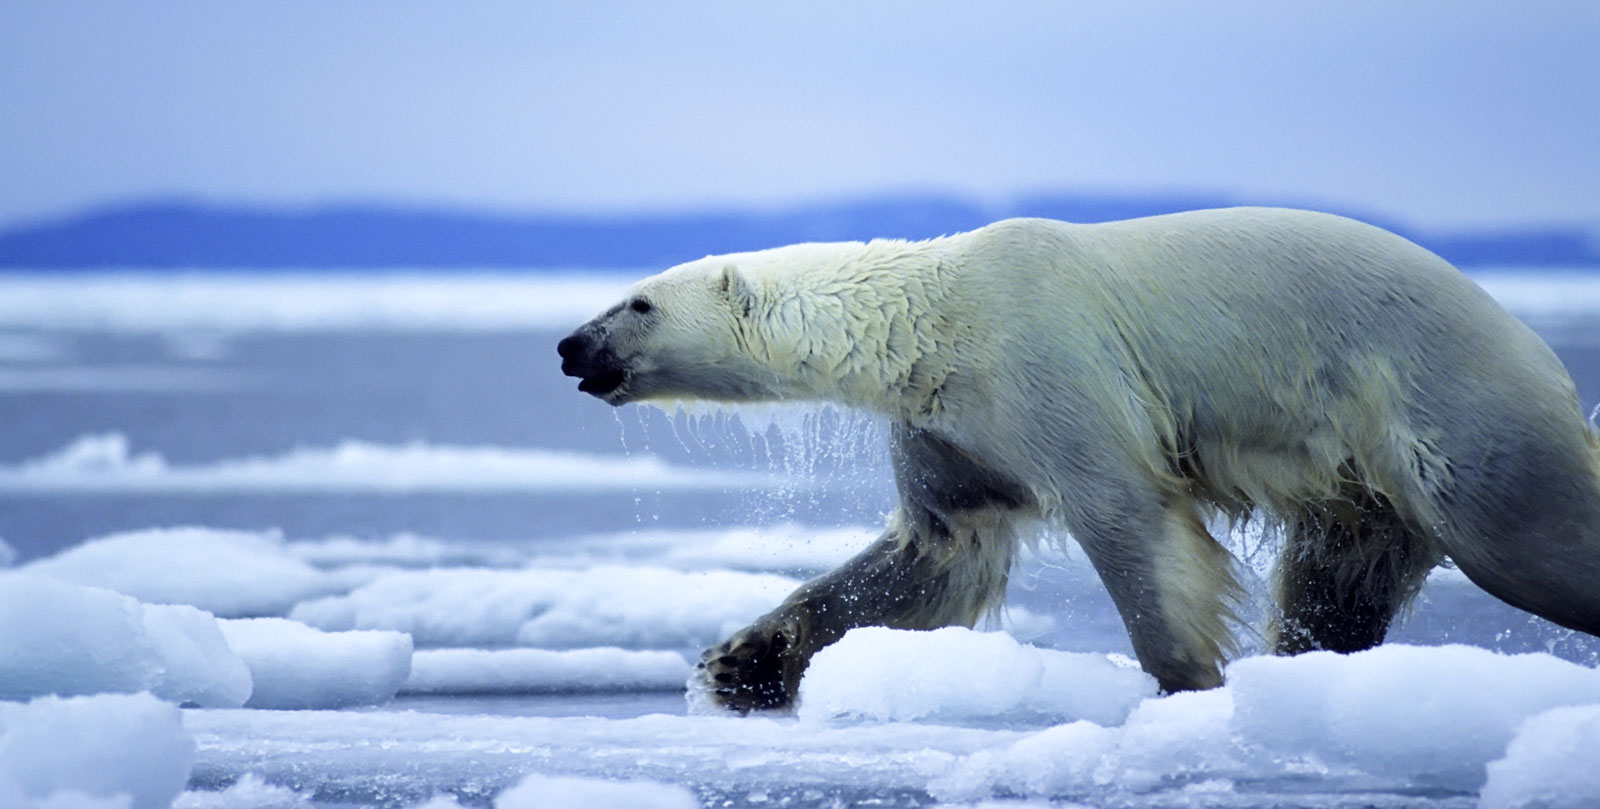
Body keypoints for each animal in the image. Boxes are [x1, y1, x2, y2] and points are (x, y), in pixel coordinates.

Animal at [557, 207, 1600, 713]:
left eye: (638, 301)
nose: (570, 345)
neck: (933, 317)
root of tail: (1543, 353)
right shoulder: (950, 425)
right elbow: (935, 552)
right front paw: (744, 662)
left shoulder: (1048, 360)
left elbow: (1130, 518)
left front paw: (1188, 685)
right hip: (1365, 482)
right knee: (1337, 584)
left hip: (1450, 413)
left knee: (1530, 537)